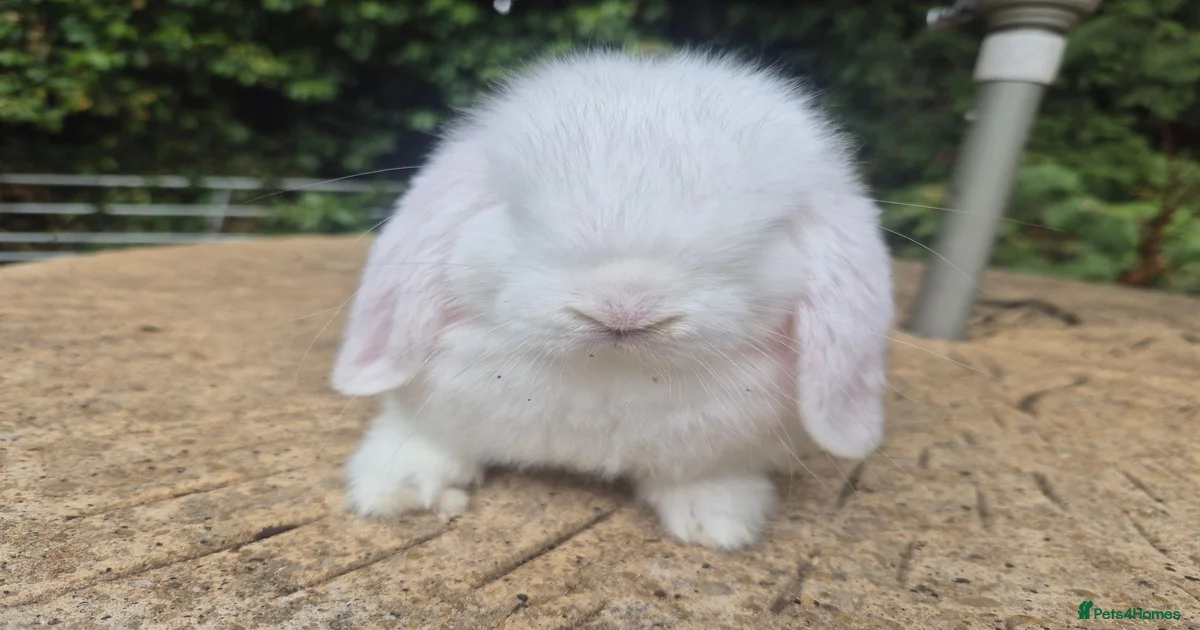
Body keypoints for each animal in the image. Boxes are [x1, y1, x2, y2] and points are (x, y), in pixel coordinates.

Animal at [329, 48, 894, 551]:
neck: (606, 372)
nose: (624, 308)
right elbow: (427, 439)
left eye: (768, 233)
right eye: (512, 212)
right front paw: (393, 492)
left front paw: (718, 526)